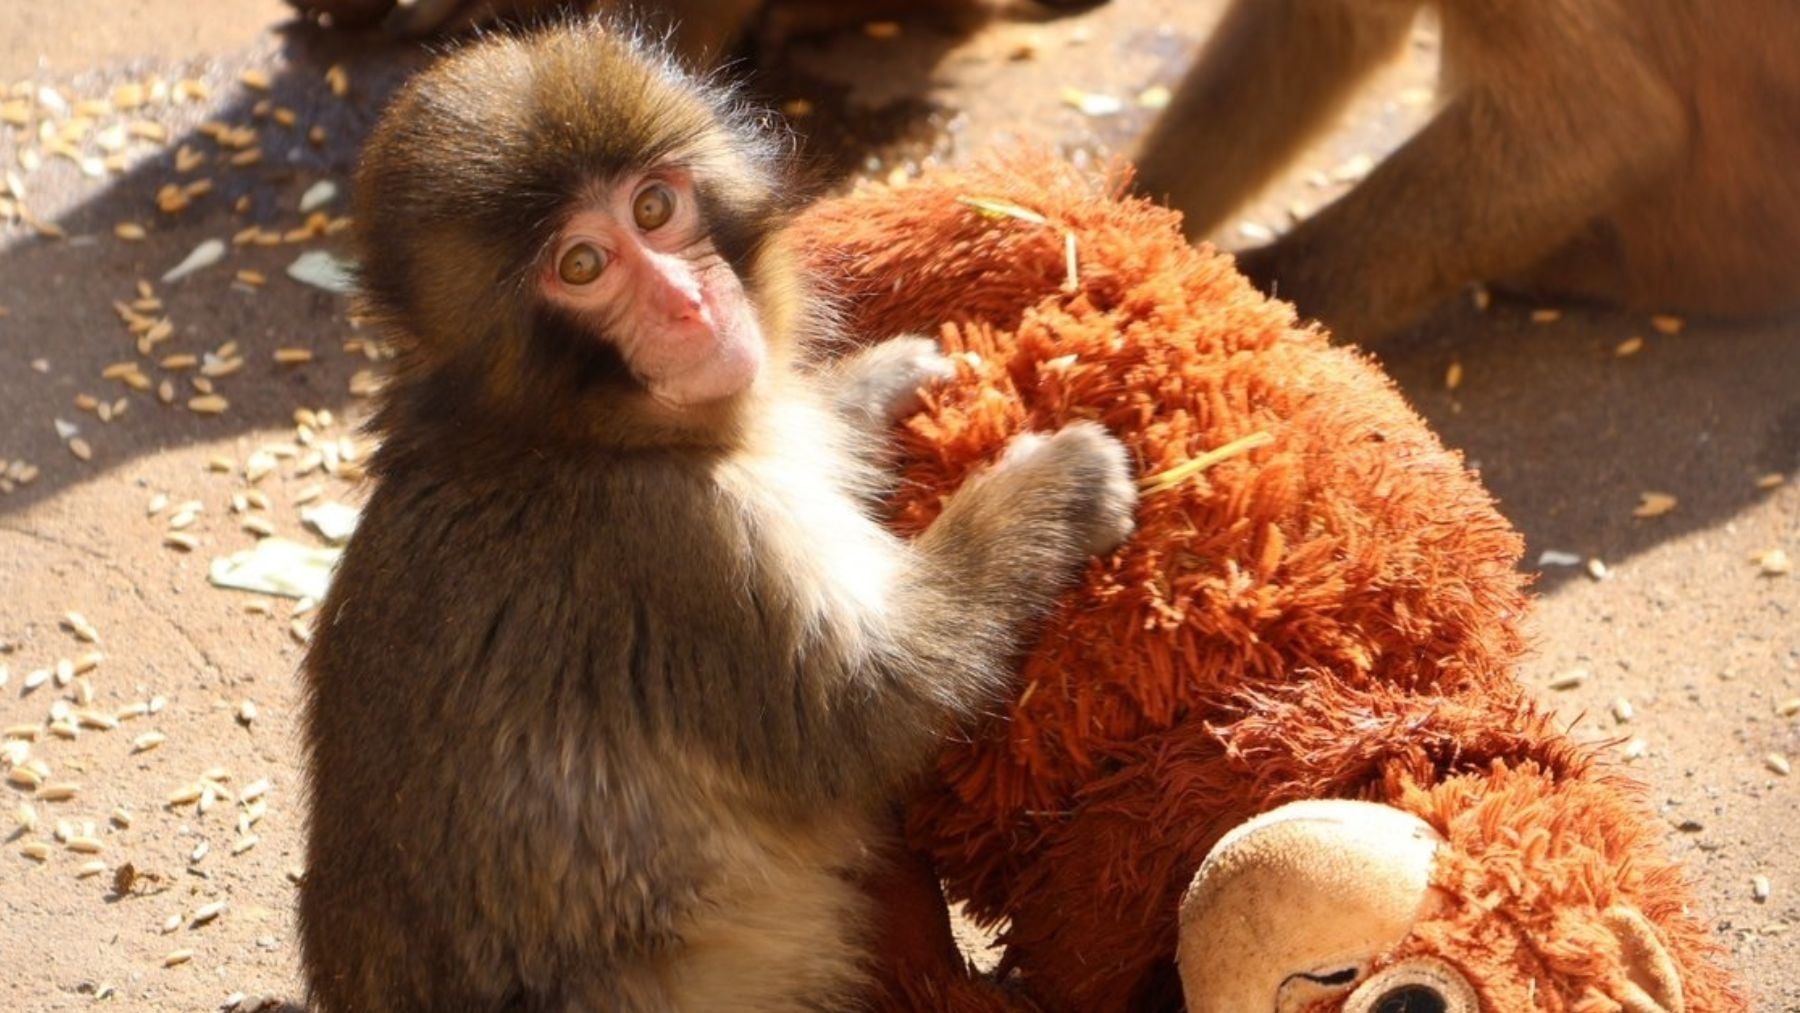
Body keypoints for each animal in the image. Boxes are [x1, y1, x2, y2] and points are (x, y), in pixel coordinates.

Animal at [296, 21, 1138, 1012]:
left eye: (655, 207)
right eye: (582, 265)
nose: (688, 303)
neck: (566, 435)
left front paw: (878, 386)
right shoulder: (677, 544)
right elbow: (867, 707)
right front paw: (1057, 485)